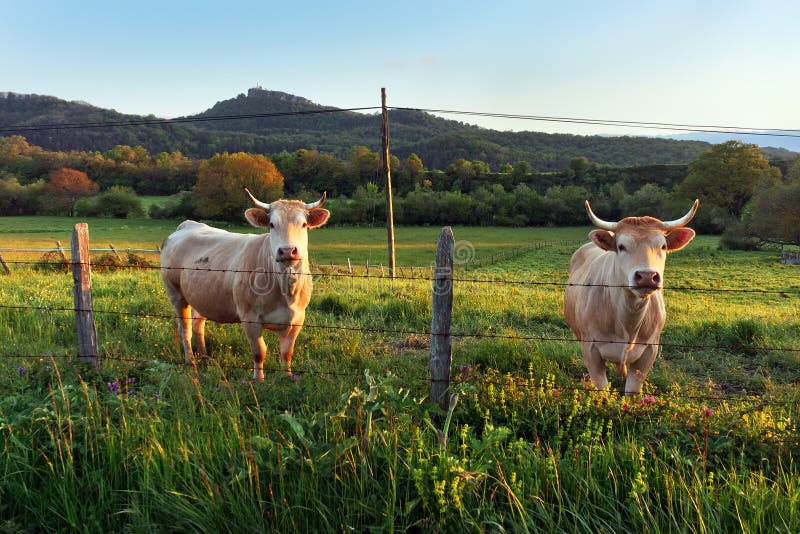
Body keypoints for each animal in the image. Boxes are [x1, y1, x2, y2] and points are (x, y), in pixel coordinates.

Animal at [160, 189, 330, 380]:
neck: (285, 289)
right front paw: (258, 380)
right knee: (185, 328)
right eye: (271, 224)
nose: (287, 251)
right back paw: (191, 362)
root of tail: (187, 225)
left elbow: (287, 352)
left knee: (198, 325)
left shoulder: (297, 319)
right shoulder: (249, 317)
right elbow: (259, 351)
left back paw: (204, 358)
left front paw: (287, 378)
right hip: (175, 293)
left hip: (201, 295)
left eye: (303, 224)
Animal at [563, 199, 699, 395]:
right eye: (621, 246)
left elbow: (632, 391)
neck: (627, 321)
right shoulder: (590, 349)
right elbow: (602, 389)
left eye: (663, 246)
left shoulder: (649, 351)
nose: (647, 276)